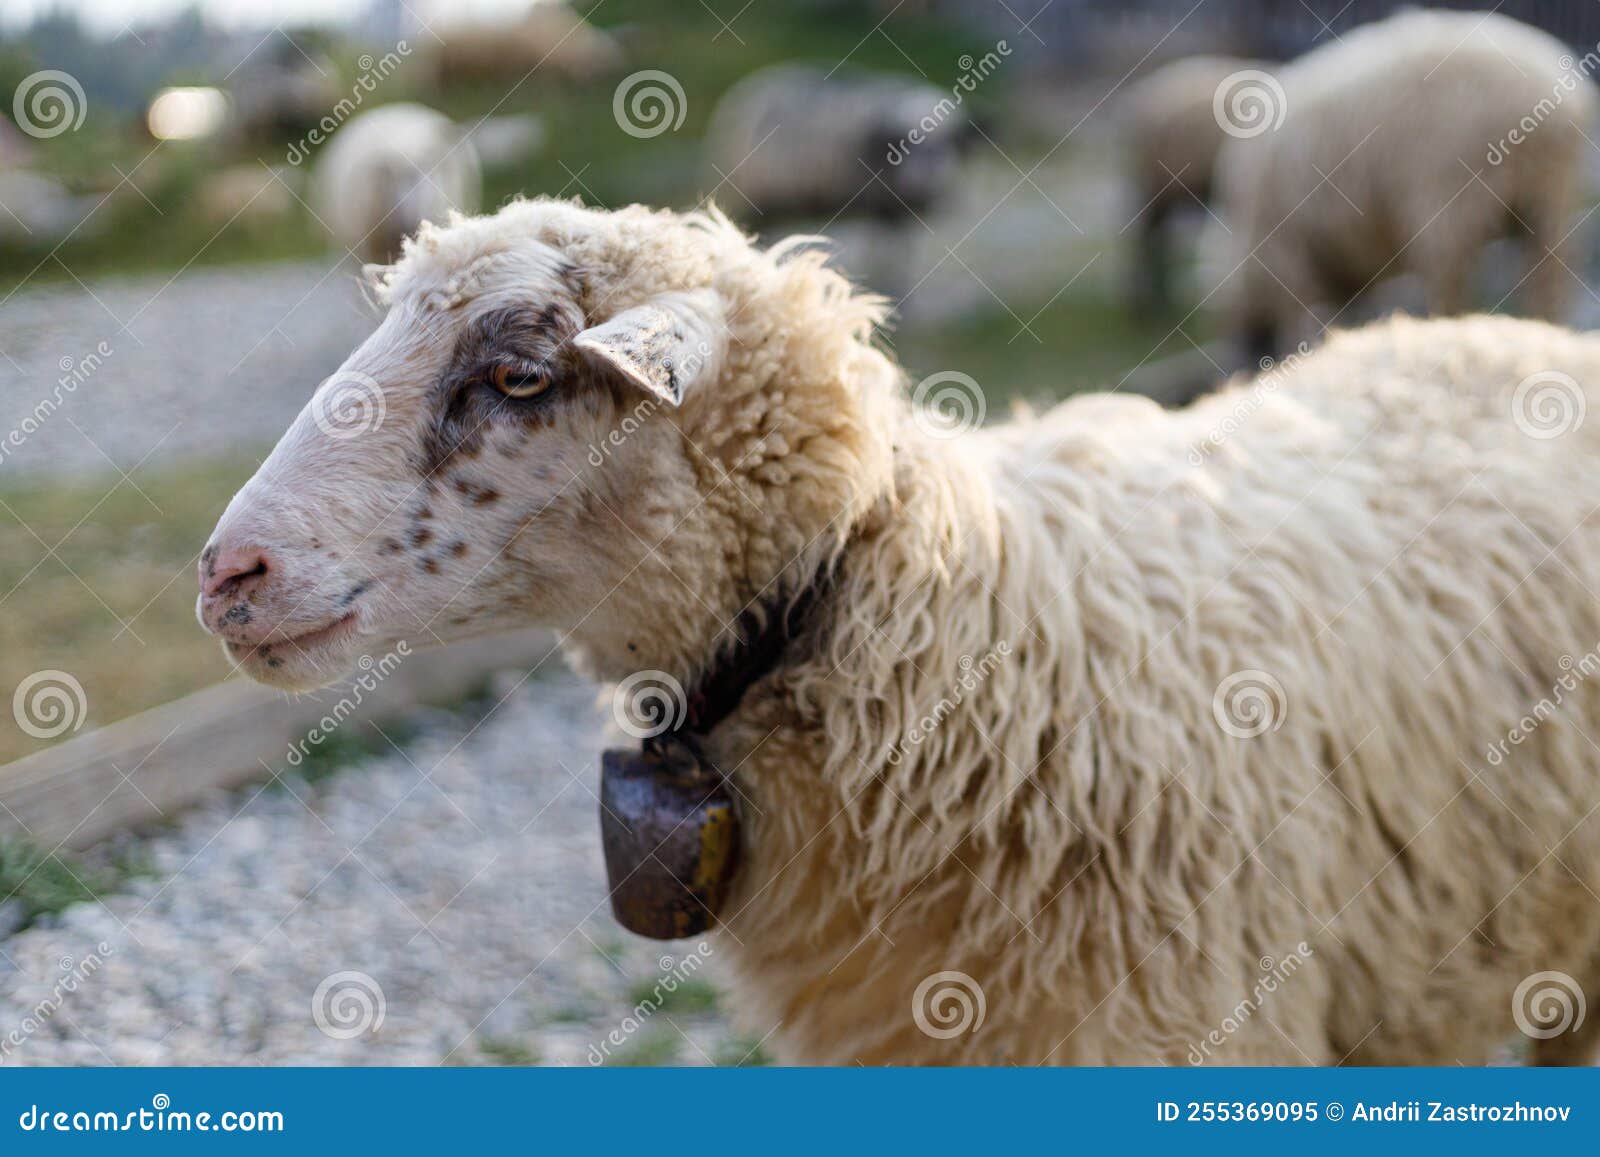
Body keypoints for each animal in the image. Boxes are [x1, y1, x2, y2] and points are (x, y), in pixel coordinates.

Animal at [1214, 9, 1596, 362]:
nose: (1245, 357)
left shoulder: (1291, 253)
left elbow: (1300, 317)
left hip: (1448, 195)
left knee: (1450, 284)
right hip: (1550, 197)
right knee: (1549, 278)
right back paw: (1544, 329)